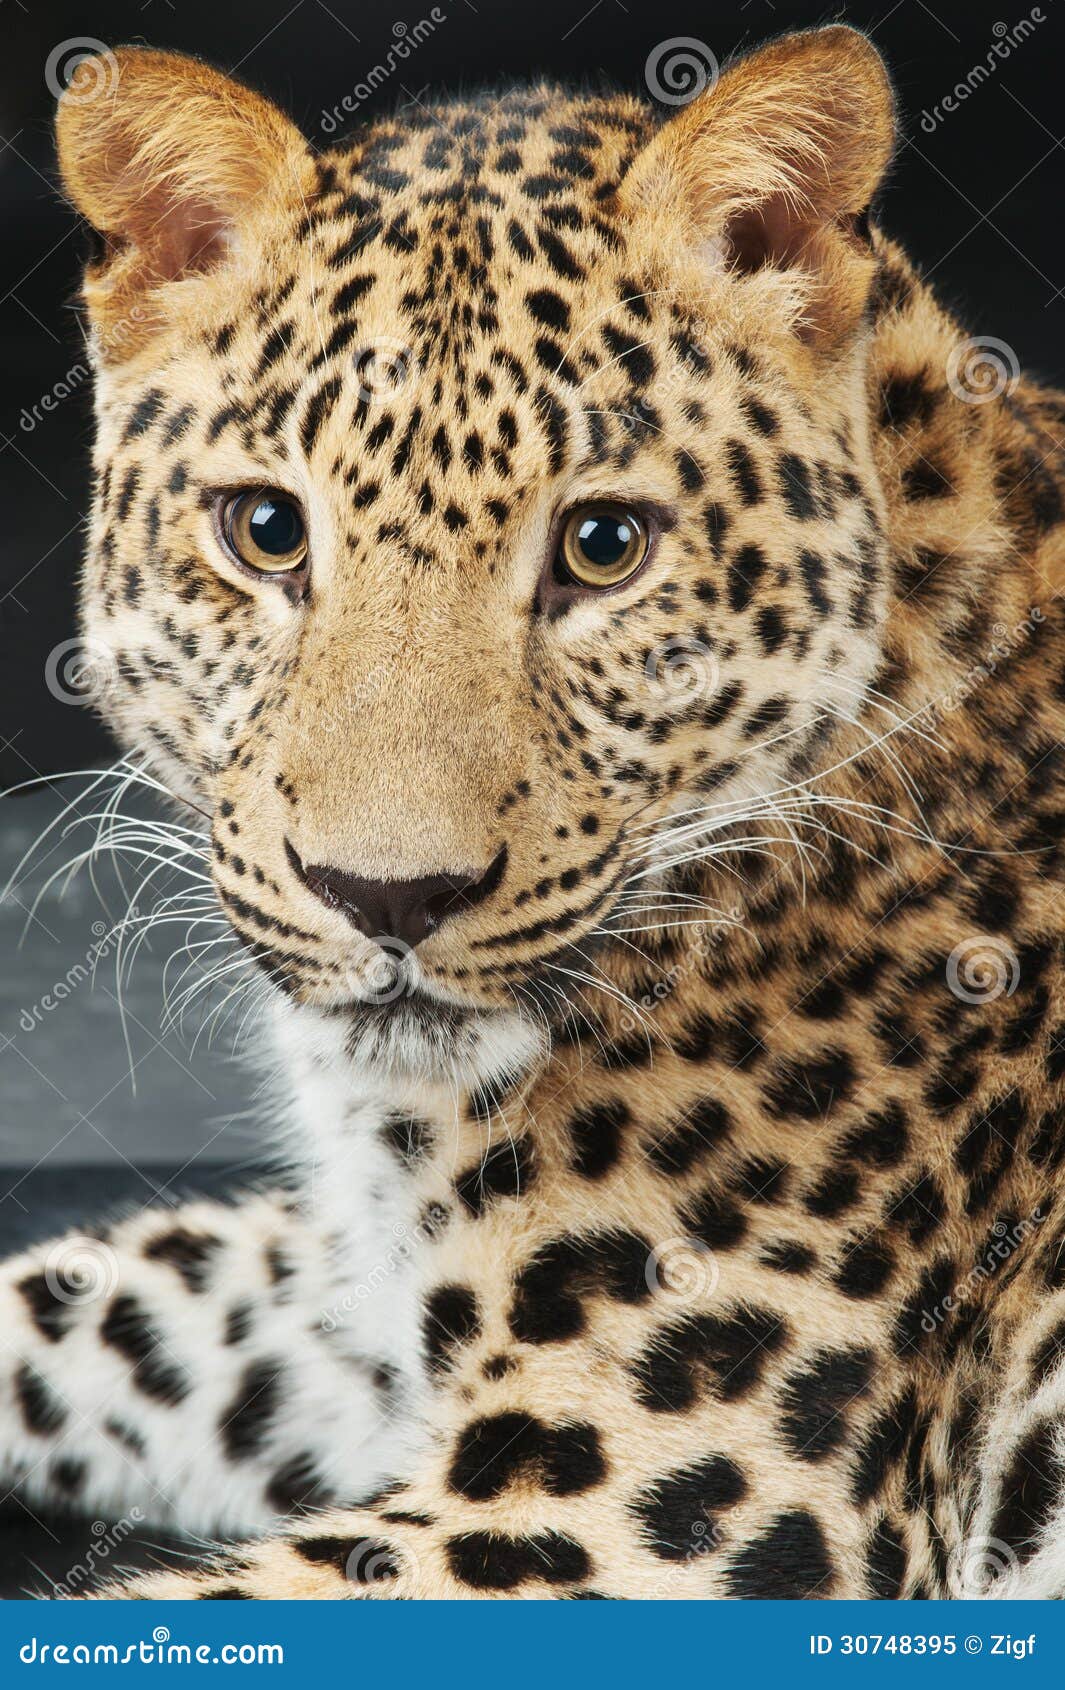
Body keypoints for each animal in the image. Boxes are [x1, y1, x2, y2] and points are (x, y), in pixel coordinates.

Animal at [3, 22, 1065, 1600]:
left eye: (603, 546)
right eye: (266, 531)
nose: (388, 897)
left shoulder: (656, 1497)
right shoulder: (349, 1315)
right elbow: (105, 1294)